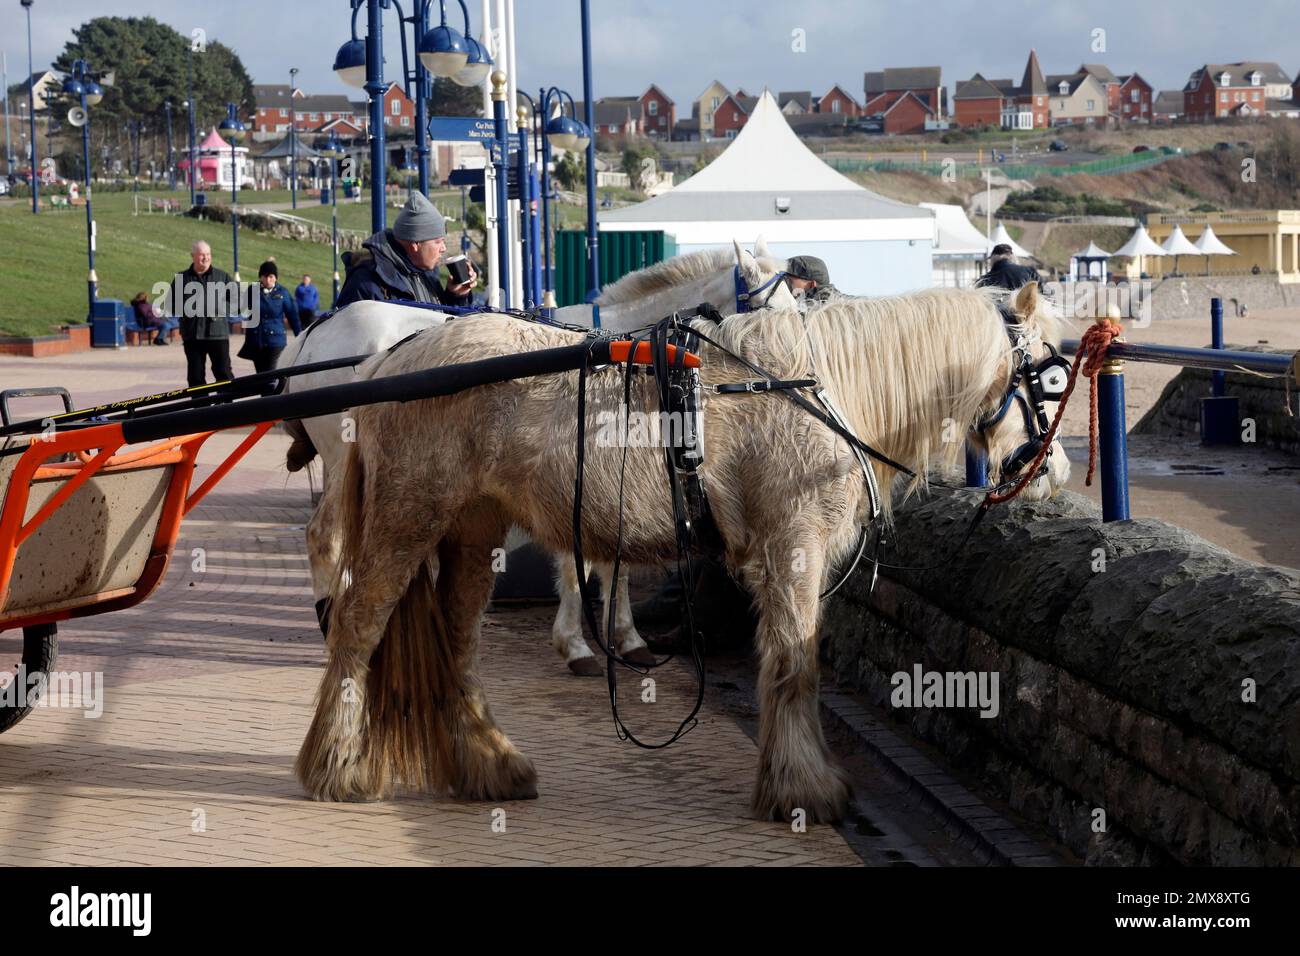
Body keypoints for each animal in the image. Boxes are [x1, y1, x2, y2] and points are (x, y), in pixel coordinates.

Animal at [276, 240, 797, 671]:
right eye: (770, 313)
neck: (619, 346)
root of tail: (314, 332)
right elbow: (576, 562)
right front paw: (576, 644)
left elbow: (616, 562)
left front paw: (627, 638)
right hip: (348, 459)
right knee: (325, 537)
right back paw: (331, 618)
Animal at [294, 282, 1069, 822]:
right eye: (1052, 377)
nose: (1054, 471)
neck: (812, 389)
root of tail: (389, 358)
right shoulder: (794, 545)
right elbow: (795, 665)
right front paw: (802, 789)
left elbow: (784, 660)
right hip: (409, 515)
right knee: (358, 625)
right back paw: (338, 764)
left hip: (470, 531)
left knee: (456, 644)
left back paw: (487, 763)